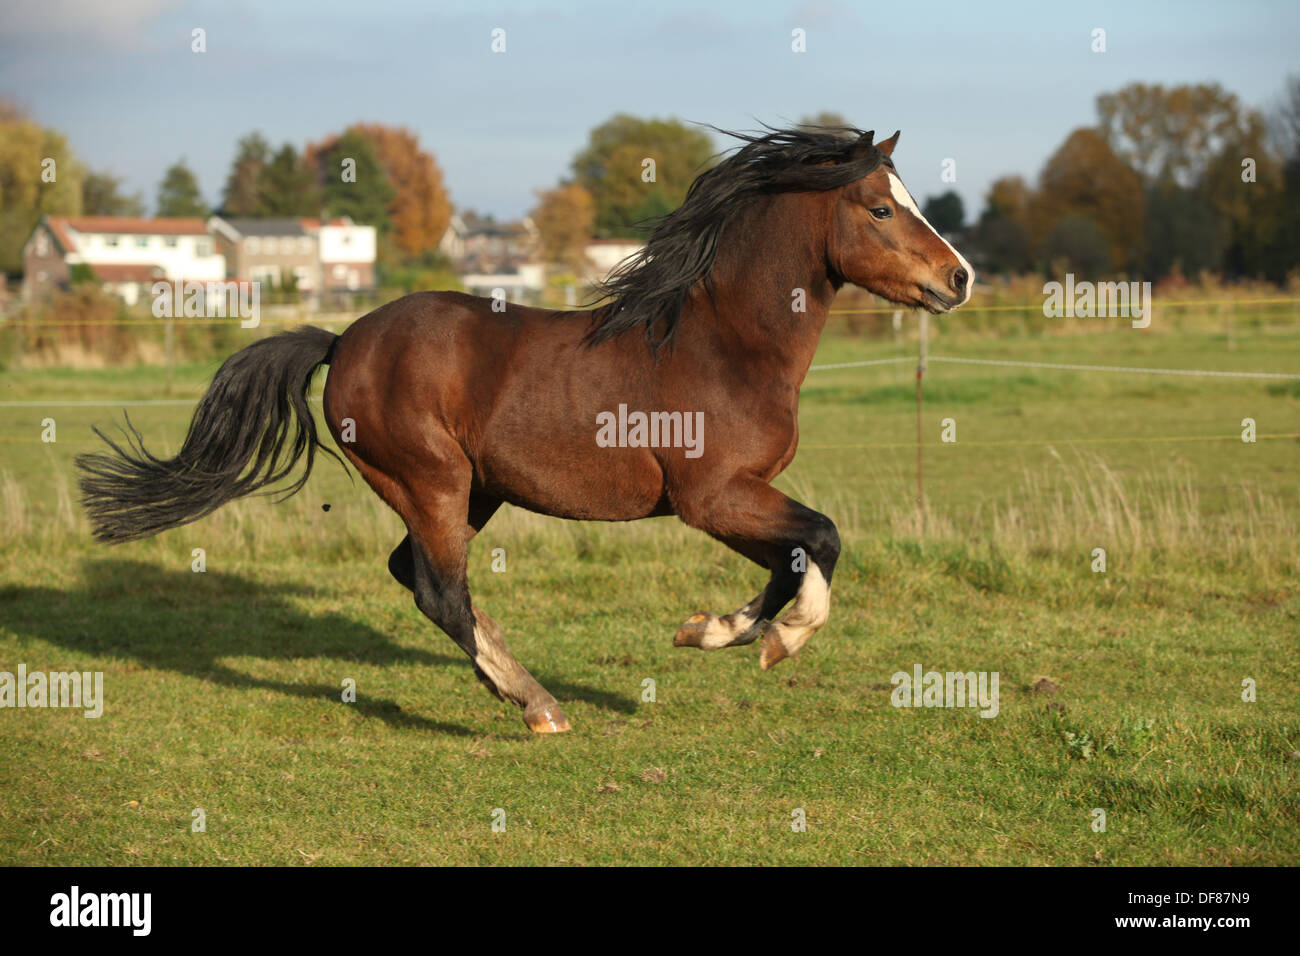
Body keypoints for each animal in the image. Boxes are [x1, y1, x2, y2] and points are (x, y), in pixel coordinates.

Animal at [76, 125, 974, 734]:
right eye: (881, 207)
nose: (958, 278)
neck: (725, 342)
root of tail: (343, 340)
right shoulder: (714, 497)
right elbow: (820, 541)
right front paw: (778, 641)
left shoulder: (737, 500)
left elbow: (794, 560)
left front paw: (705, 629)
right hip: (432, 482)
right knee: (439, 589)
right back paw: (538, 705)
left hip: (473, 492)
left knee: (417, 575)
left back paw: (510, 683)